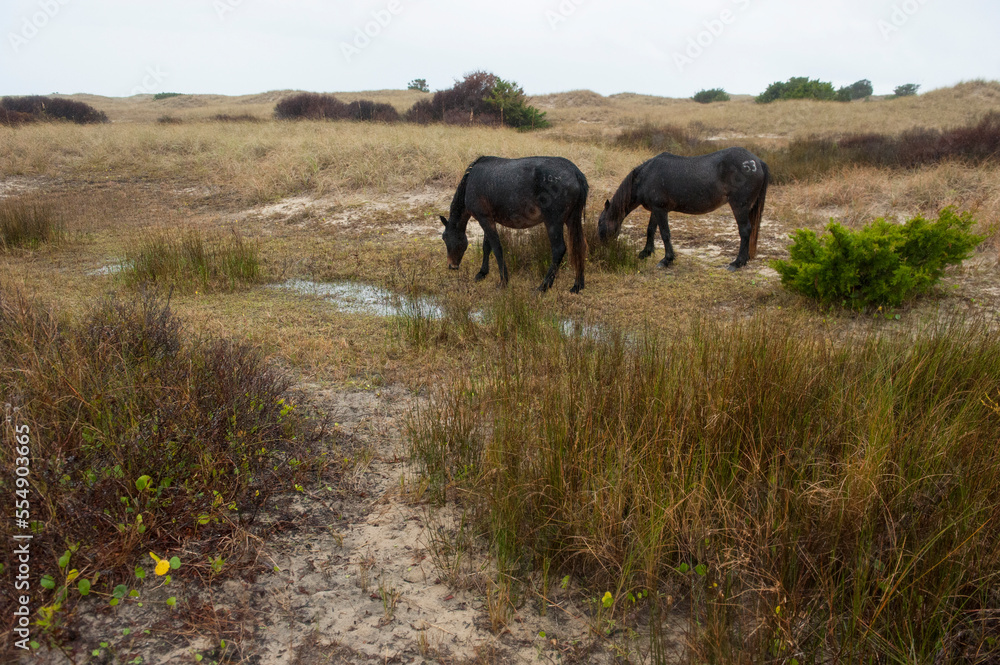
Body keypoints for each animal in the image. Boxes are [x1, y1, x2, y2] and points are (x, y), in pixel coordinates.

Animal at [441, 155, 589, 293]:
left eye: (445, 238)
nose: (451, 266)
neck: (469, 183)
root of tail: (575, 172)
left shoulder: (484, 219)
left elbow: (496, 248)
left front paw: (503, 281)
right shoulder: (489, 219)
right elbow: (487, 247)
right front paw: (482, 273)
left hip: (553, 222)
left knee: (559, 249)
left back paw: (543, 287)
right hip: (572, 219)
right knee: (580, 246)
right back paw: (577, 285)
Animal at [597, 147, 769, 271]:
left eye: (600, 224)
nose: (603, 249)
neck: (645, 176)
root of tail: (756, 161)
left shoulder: (660, 210)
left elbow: (665, 234)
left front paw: (667, 260)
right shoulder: (655, 209)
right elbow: (651, 230)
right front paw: (646, 252)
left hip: (739, 206)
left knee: (745, 231)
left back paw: (737, 263)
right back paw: (744, 260)